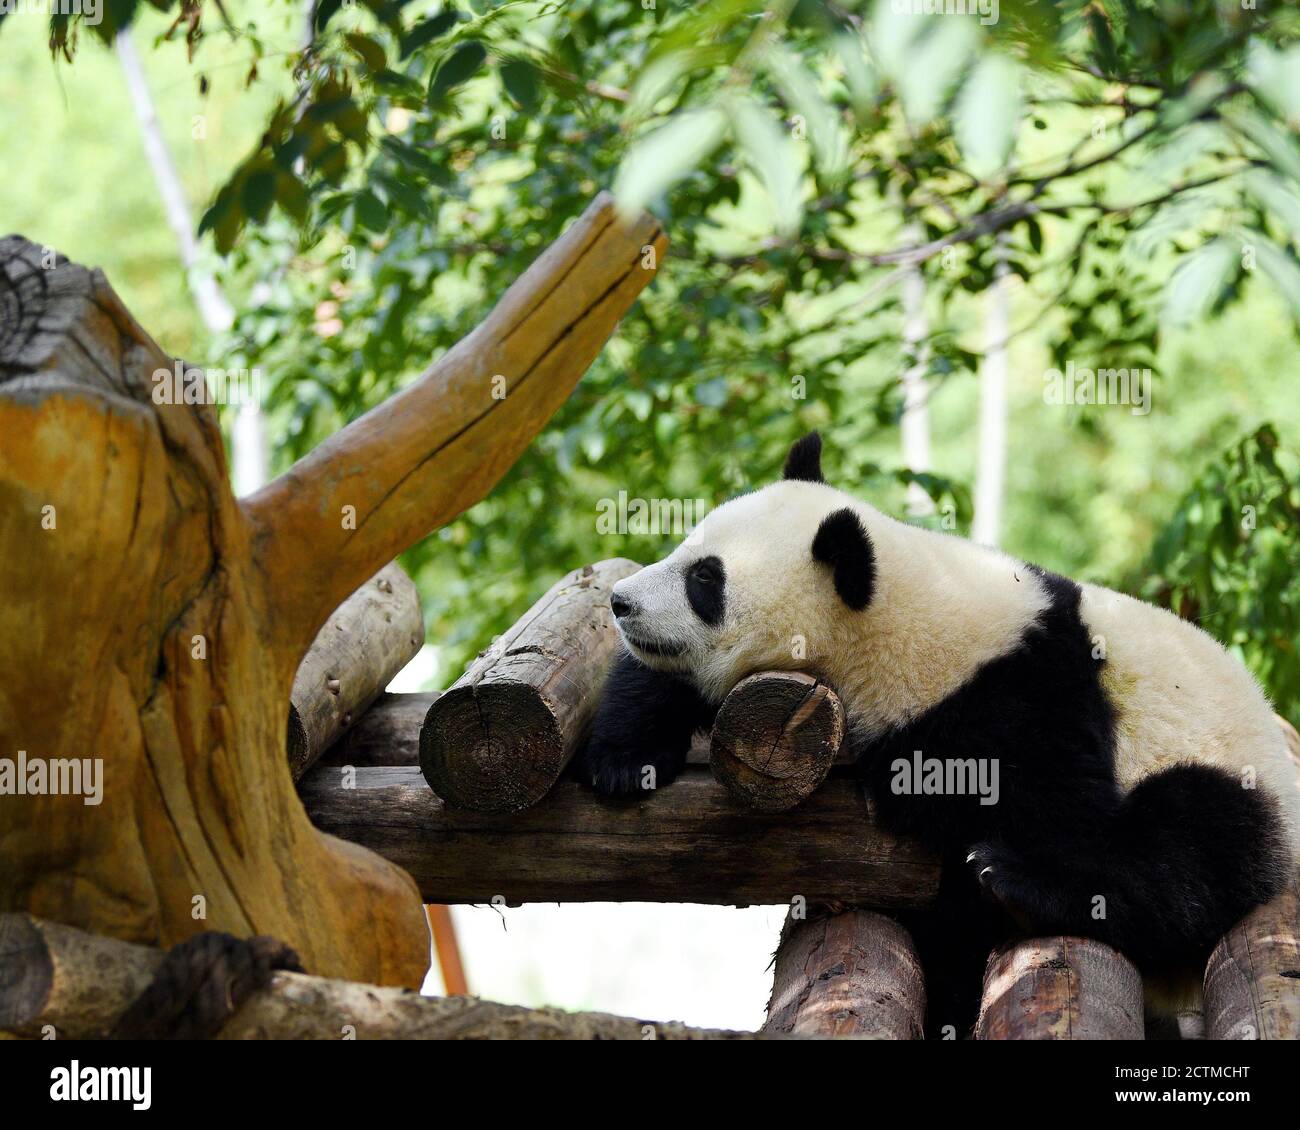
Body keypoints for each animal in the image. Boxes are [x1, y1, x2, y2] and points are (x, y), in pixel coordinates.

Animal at [582, 431, 1299, 1034]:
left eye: (705, 579)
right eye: (687, 549)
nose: (622, 601)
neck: (900, 622)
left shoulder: (1028, 693)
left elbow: (1058, 808)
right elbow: (662, 680)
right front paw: (622, 760)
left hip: (1234, 775)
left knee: (1198, 846)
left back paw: (1016, 882)